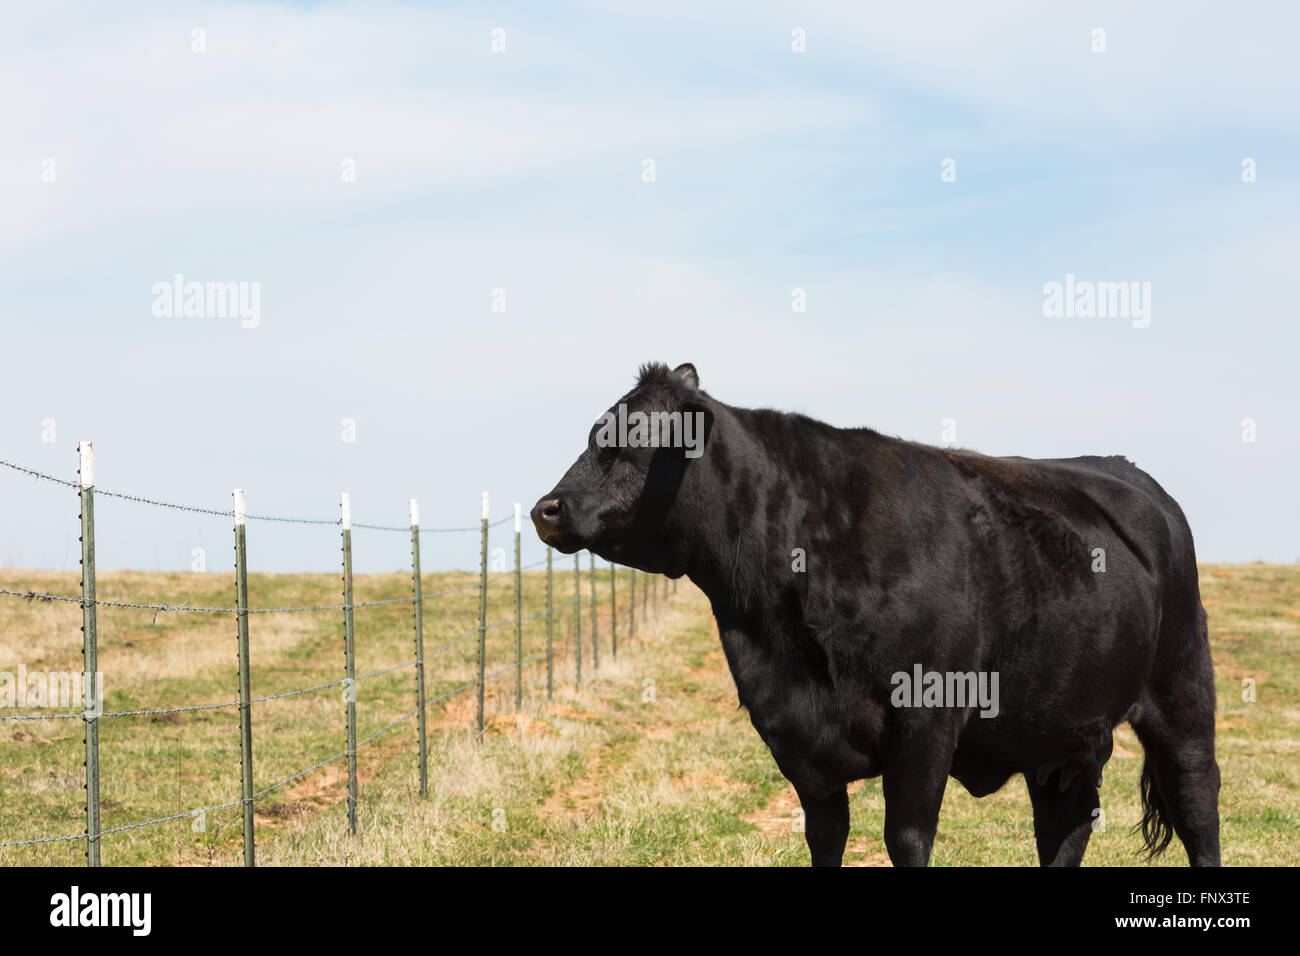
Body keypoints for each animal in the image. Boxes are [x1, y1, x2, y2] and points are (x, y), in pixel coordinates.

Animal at [531, 362, 1221, 867]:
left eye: (631, 443)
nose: (547, 508)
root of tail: (1132, 475)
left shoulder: (926, 717)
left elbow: (906, 839)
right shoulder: (792, 736)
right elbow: (825, 837)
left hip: (1182, 691)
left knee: (1197, 802)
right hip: (1061, 729)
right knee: (1066, 825)